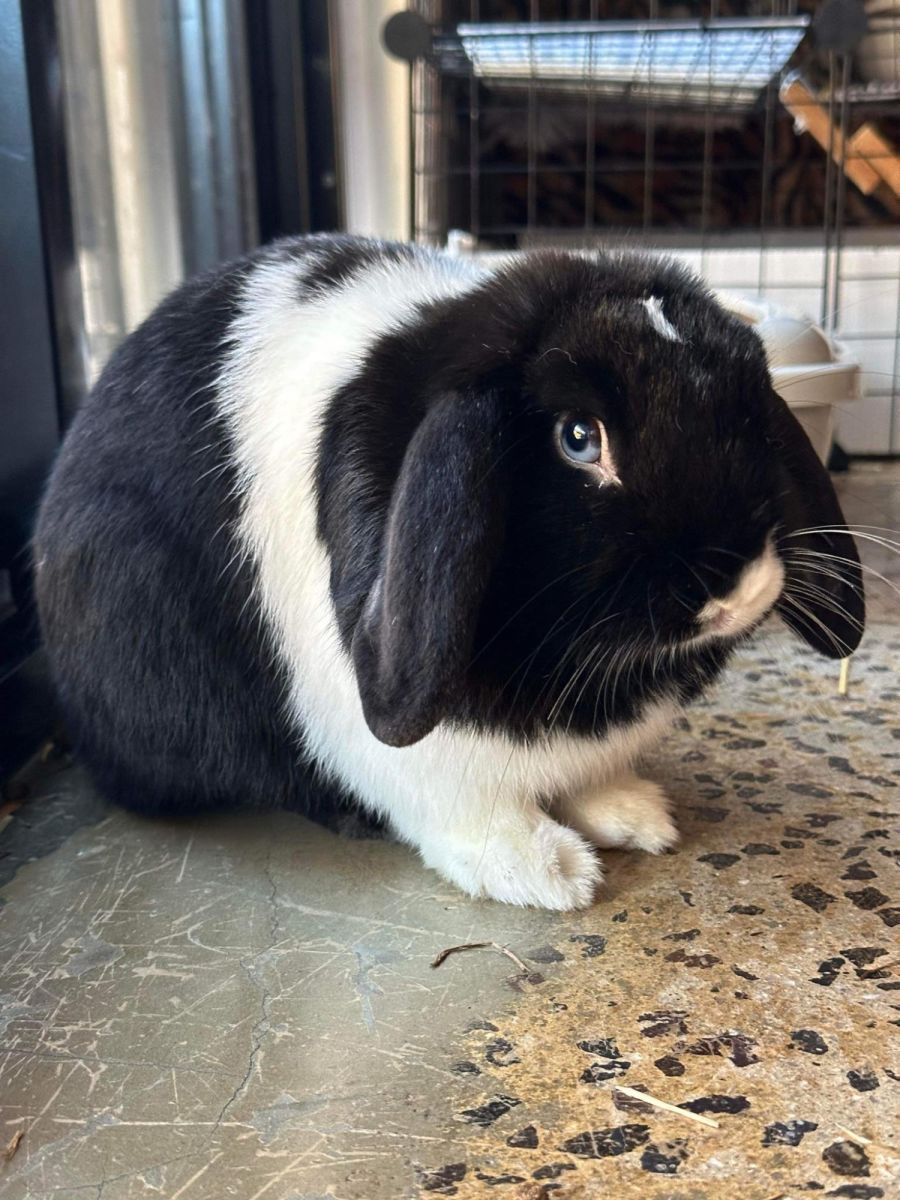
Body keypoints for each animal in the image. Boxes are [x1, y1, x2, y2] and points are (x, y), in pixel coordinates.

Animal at [34, 233, 864, 909]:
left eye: (751, 416)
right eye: (577, 438)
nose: (735, 589)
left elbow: (589, 781)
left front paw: (637, 816)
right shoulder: (427, 764)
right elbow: (469, 815)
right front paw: (549, 872)